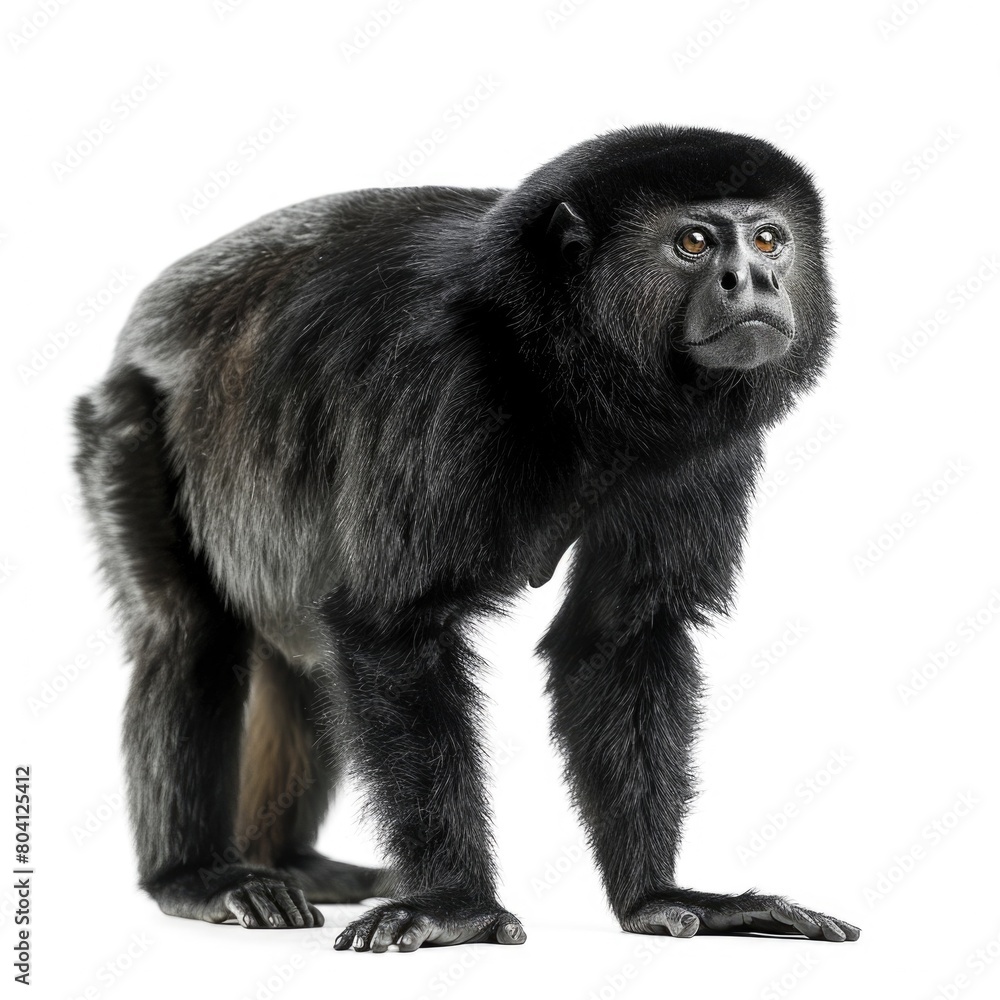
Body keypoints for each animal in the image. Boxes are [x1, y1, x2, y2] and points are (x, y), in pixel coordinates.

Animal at [72, 124, 860, 951]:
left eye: (769, 239)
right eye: (695, 242)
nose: (756, 281)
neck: (557, 354)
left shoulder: (701, 450)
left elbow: (621, 635)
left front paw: (658, 894)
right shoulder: (445, 382)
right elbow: (389, 624)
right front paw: (456, 904)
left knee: (303, 657)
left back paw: (291, 862)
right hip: (121, 424)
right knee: (187, 633)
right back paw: (197, 877)